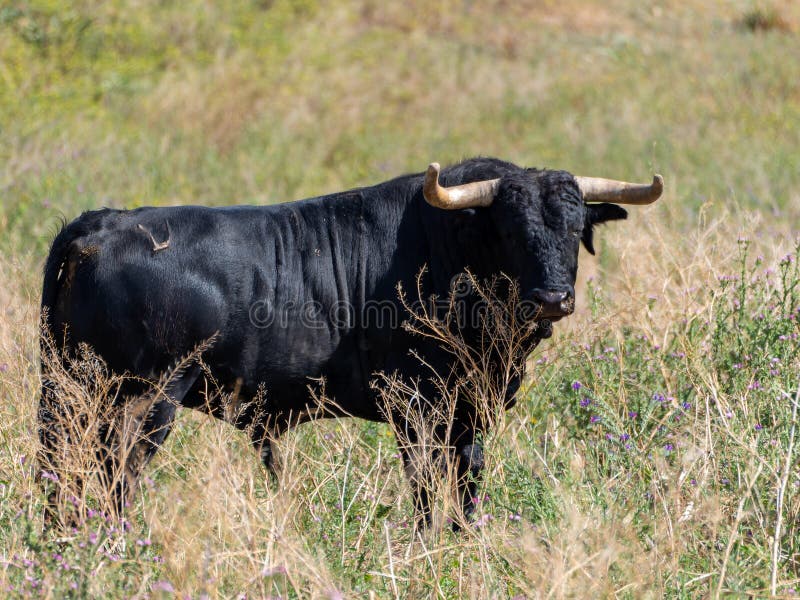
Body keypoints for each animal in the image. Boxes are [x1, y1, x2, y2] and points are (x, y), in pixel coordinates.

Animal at [38, 157, 662, 527]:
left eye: (575, 230)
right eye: (509, 229)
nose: (553, 298)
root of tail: (102, 225)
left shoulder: (469, 413)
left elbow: (467, 484)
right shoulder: (415, 406)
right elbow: (425, 489)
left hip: (69, 392)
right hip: (145, 397)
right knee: (115, 476)